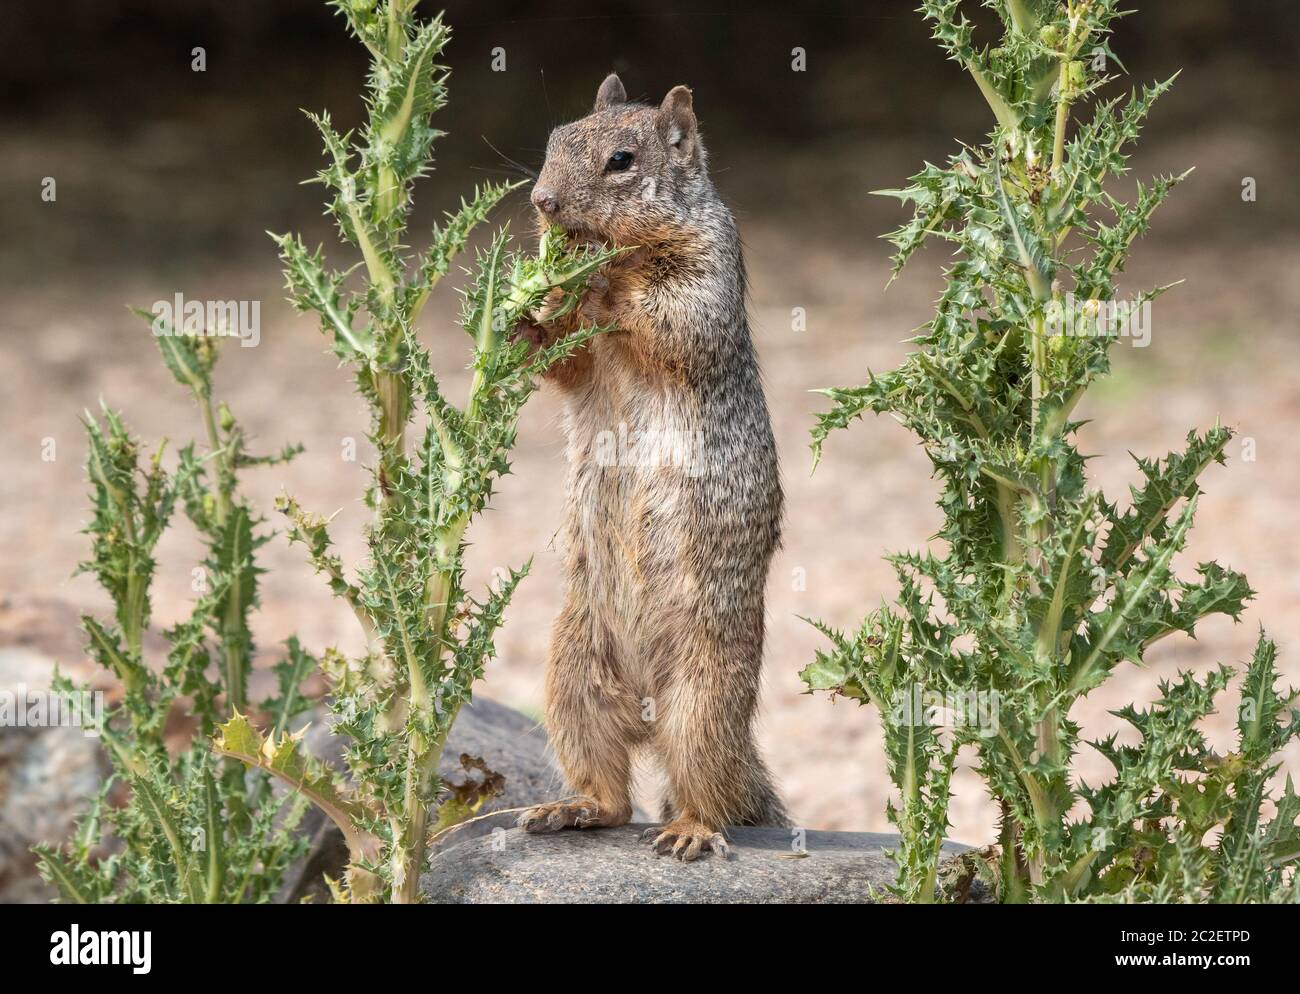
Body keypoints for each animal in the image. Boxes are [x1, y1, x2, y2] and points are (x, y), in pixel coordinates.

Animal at [515, 74, 789, 860]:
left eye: (622, 161)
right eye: (554, 138)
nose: (542, 202)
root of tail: (642, 704)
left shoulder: (705, 276)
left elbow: (671, 319)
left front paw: (600, 281)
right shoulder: (582, 356)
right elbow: (566, 357)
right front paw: (532, 306)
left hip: (701, 695)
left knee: (706, 787)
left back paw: (691, 830)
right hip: (572, 676)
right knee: (611, 792)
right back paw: (570, 808)